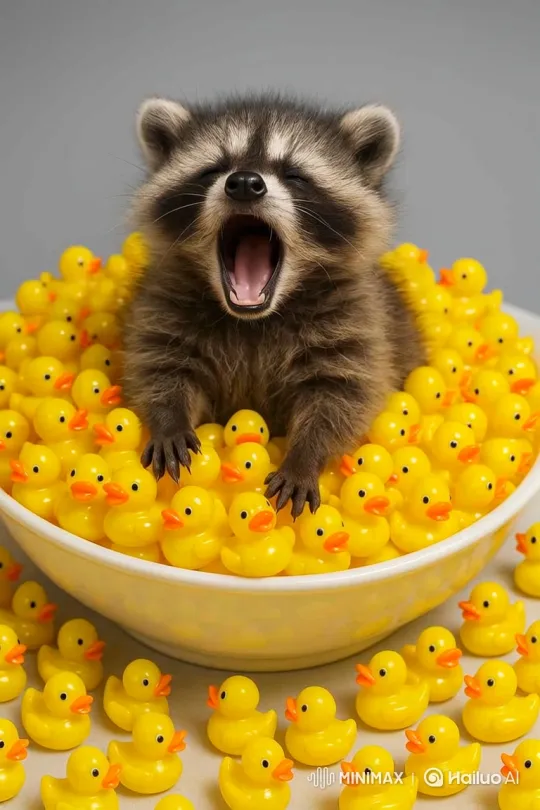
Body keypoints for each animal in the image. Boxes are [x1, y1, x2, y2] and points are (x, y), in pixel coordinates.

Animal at [122, 94, 424, 517]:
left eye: (294, 175)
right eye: (214, 169)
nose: (244, 184)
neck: (255, 319)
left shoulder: (357, 317)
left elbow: (342, 395)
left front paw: (306, 454)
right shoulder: (165, 302)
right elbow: (160, 366)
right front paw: (169, 420)